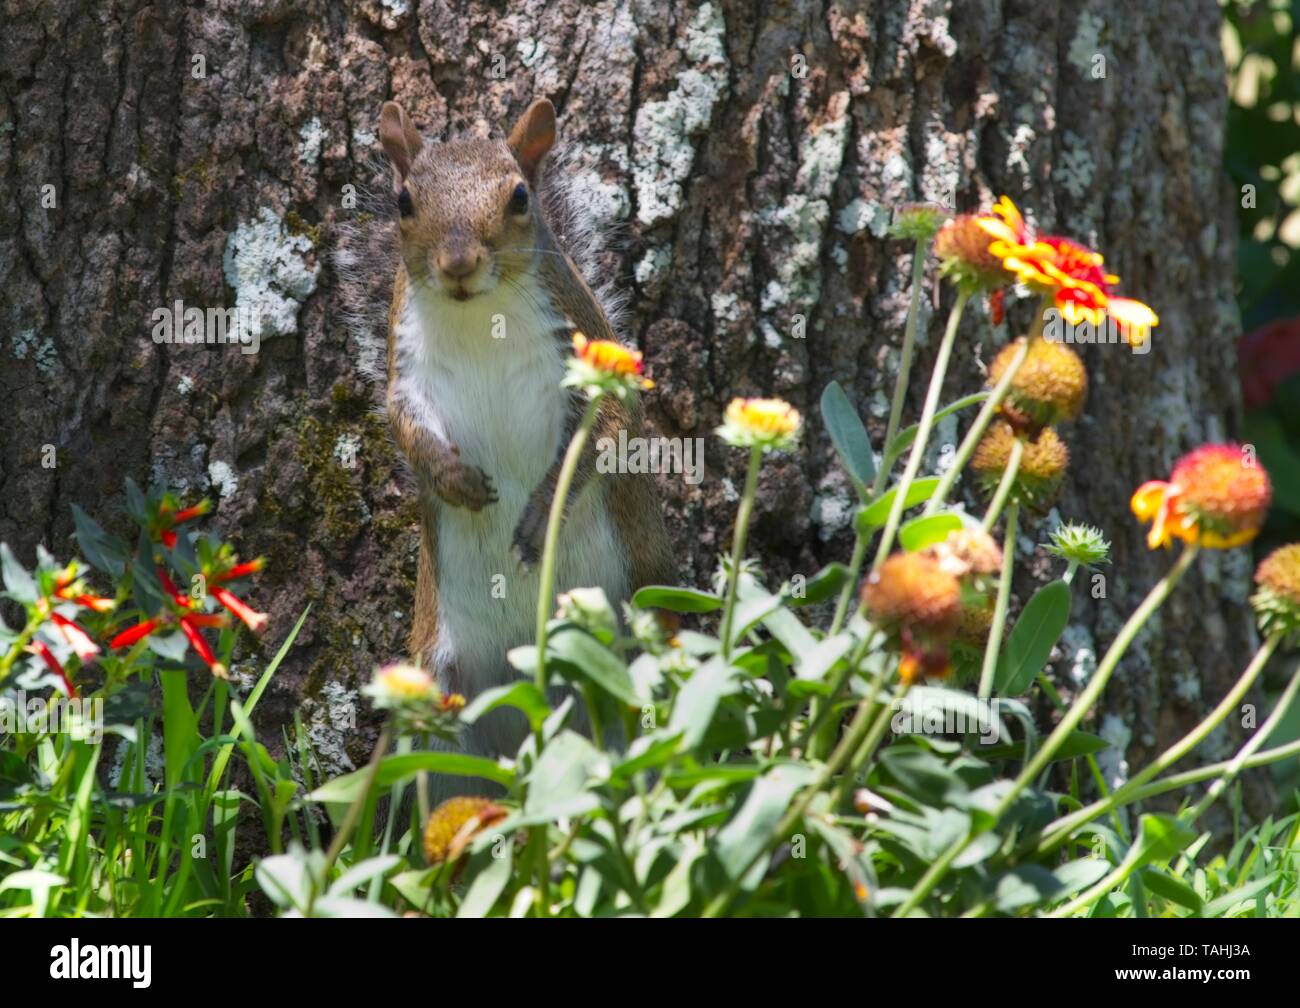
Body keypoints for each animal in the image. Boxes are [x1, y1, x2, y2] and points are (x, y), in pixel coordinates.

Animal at [368, 97, 674, 793]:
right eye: (403, 201)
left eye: (519, 197)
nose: (457, 266)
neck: (478, 317)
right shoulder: (407, 371)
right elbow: (402, 422)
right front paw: (453, 481)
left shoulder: (587, 351)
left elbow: (607, 429)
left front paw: (540, 516)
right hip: (434, 694)